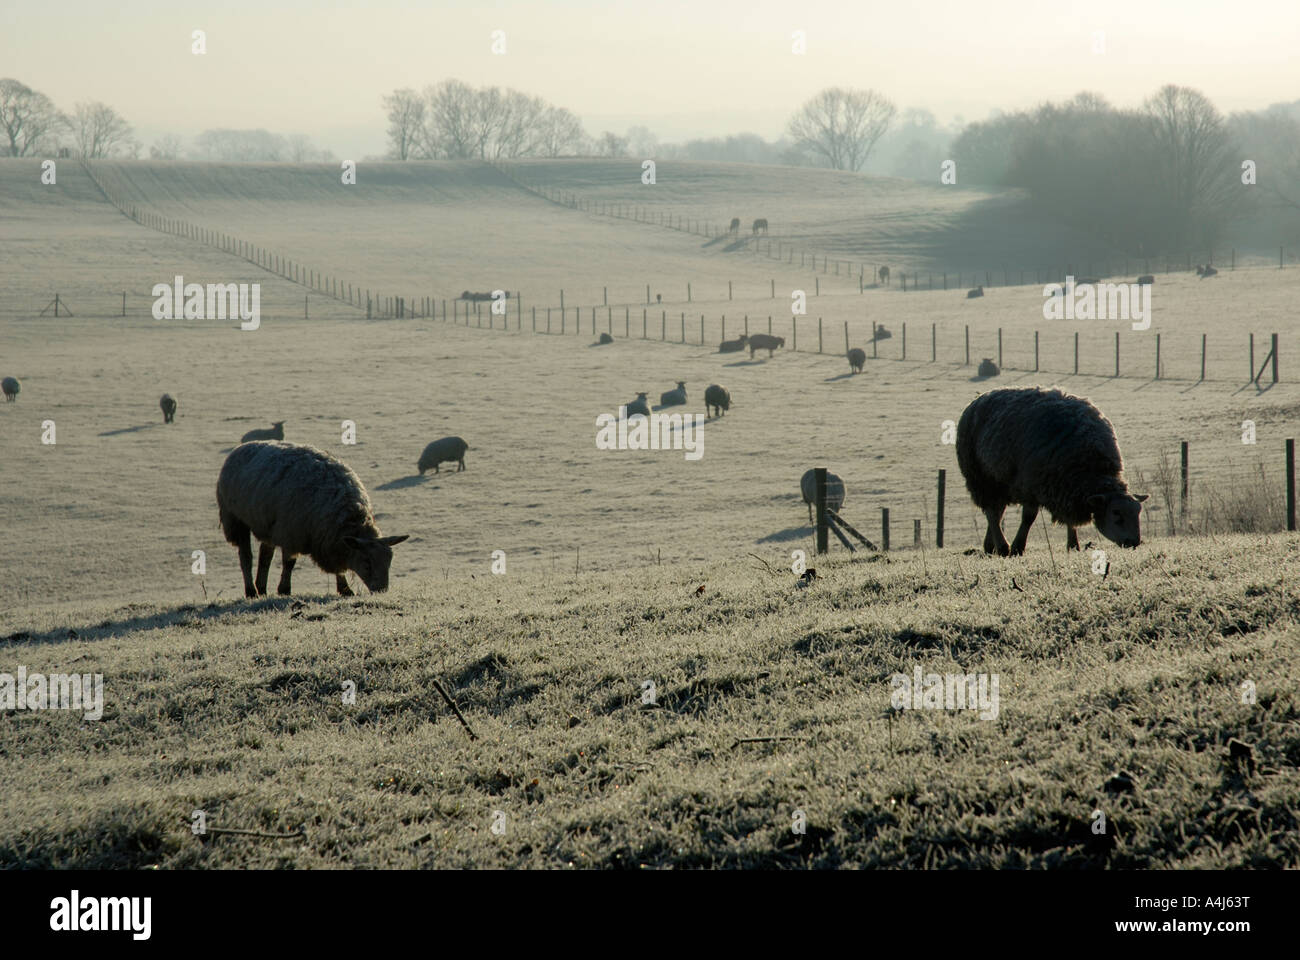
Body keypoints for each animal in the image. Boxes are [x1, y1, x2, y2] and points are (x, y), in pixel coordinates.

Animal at [216, 441, 409, 597]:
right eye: (366, 562)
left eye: (389, 562)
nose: (381, 590)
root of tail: (241, 447)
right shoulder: (291, 532)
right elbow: (289, 563)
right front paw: (284, 590)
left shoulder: (330, 540)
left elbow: (339, 566)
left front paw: (345, 590)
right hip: (235, 519)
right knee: (246, 558)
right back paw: (251, 591)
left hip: (269, 525)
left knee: (265, 556)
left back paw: (262, 589)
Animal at [956, 386, 1147, 556]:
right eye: (1116, 513)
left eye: (1138, 512)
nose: (1134, 542)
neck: (1091, 467)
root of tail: (979, 398)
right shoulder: (1031, 485)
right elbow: (1028, 518)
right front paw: (1018, 548)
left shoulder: (1068, 488)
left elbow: (1070, 519)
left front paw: (1073, 546)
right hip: (980, 478)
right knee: (991, 512)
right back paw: (1002, 547)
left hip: (999, 482)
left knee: (997, 511)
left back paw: (990, 546)